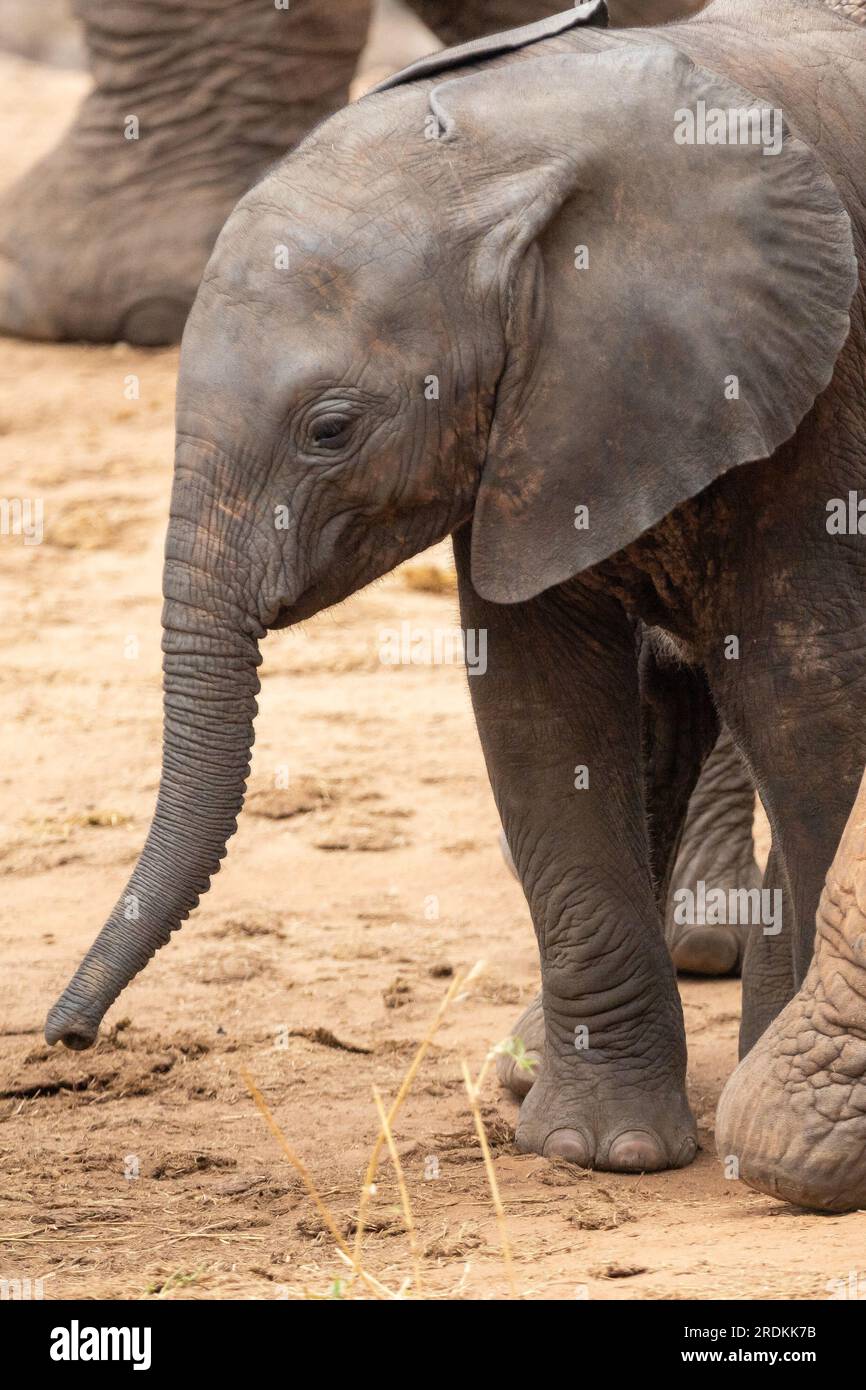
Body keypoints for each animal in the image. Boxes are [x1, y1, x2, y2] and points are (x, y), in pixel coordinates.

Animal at [44, 0, 866, 1212]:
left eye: (330, 430)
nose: (63, 1041)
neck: (512, 159)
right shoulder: (536, 421)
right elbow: (541, 716)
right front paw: (593, 1150)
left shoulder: (813, 394)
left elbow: (805, 704)